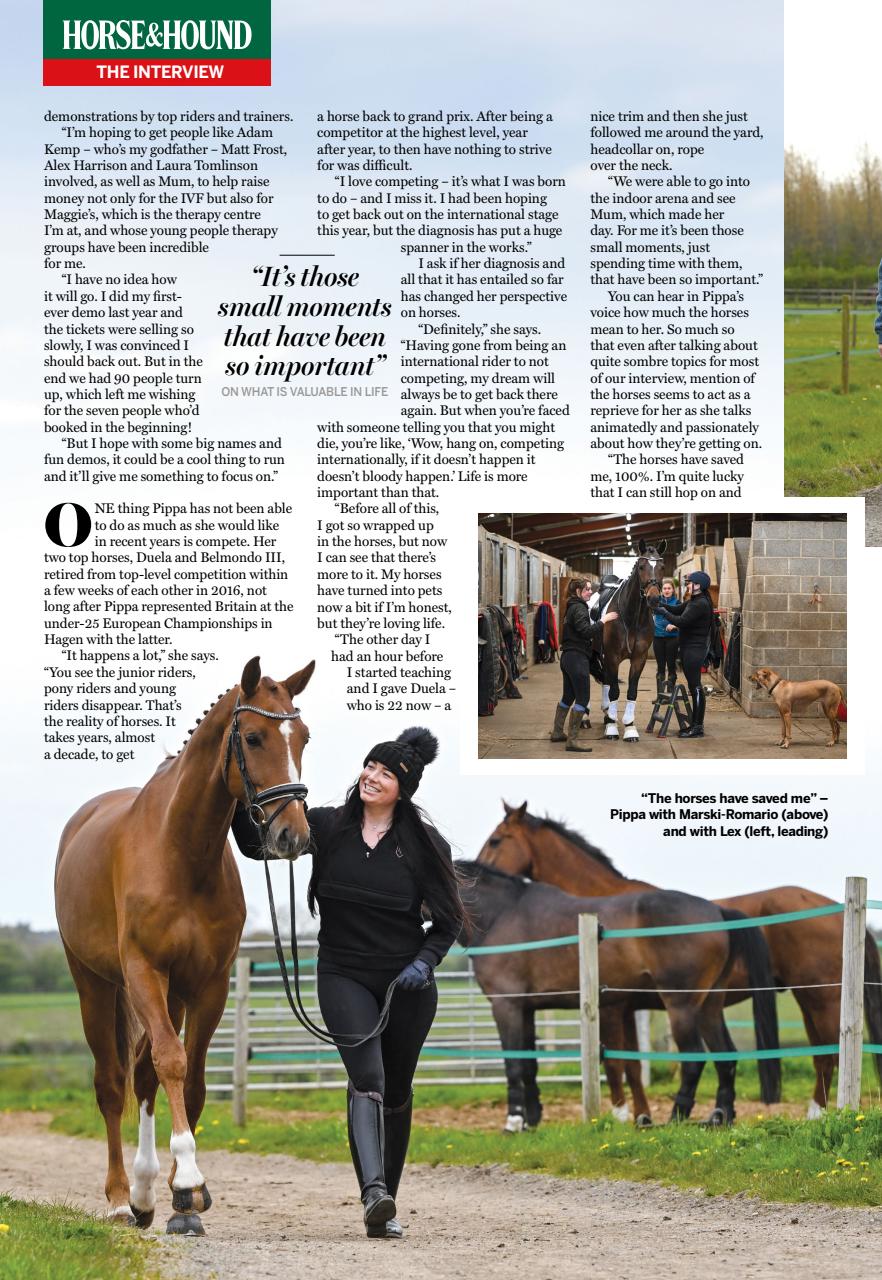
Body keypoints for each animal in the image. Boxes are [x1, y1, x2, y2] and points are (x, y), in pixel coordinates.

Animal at [55, 656, 314, 1235]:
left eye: (304, 737)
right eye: (254, 737)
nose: (292, 836)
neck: (180, 851)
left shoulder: (209, 983)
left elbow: (190, 1076)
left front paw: (183, 1197)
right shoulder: (144, 971)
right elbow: (171, 1063)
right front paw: (189, 1178)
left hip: (170, 995)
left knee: (144, 1072)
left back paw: (147, 1192)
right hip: (95, 984)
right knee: (113, 1082)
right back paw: (120, 1198)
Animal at [456, 859, 778, 1132]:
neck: (502, 914)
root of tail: (718, 913)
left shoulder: (506, 1006)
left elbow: (513, 1063)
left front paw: (513, 1122)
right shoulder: (526, 1009)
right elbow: (529, 1065)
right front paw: (531, 1120)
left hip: (681, 1006)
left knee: (694, 1059)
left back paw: (676, 1116)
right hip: (709, 1006)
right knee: (726, 1056)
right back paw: (720, 1117)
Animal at [478, 802, 882, 1119]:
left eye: (496, 839)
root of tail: (839, 907)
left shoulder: (615, 1007)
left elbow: (618, 1062)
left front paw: (628, 1116)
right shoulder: (627, 1008)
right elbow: (631, 1065)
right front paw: (641, 1116)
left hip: (820, 997)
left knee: (831, 1053)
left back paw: (816, 1114)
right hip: (807, 997)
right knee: (822, 1055)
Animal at [594, 539, 666, 743]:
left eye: (662, 567)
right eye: (641, 566)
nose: (654, 598)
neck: (632, 618)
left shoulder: (639, 658)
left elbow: (632, 691)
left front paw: (629, 727)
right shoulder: (612, 656)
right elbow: (615, 691)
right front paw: (612, 728)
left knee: (606, 681)